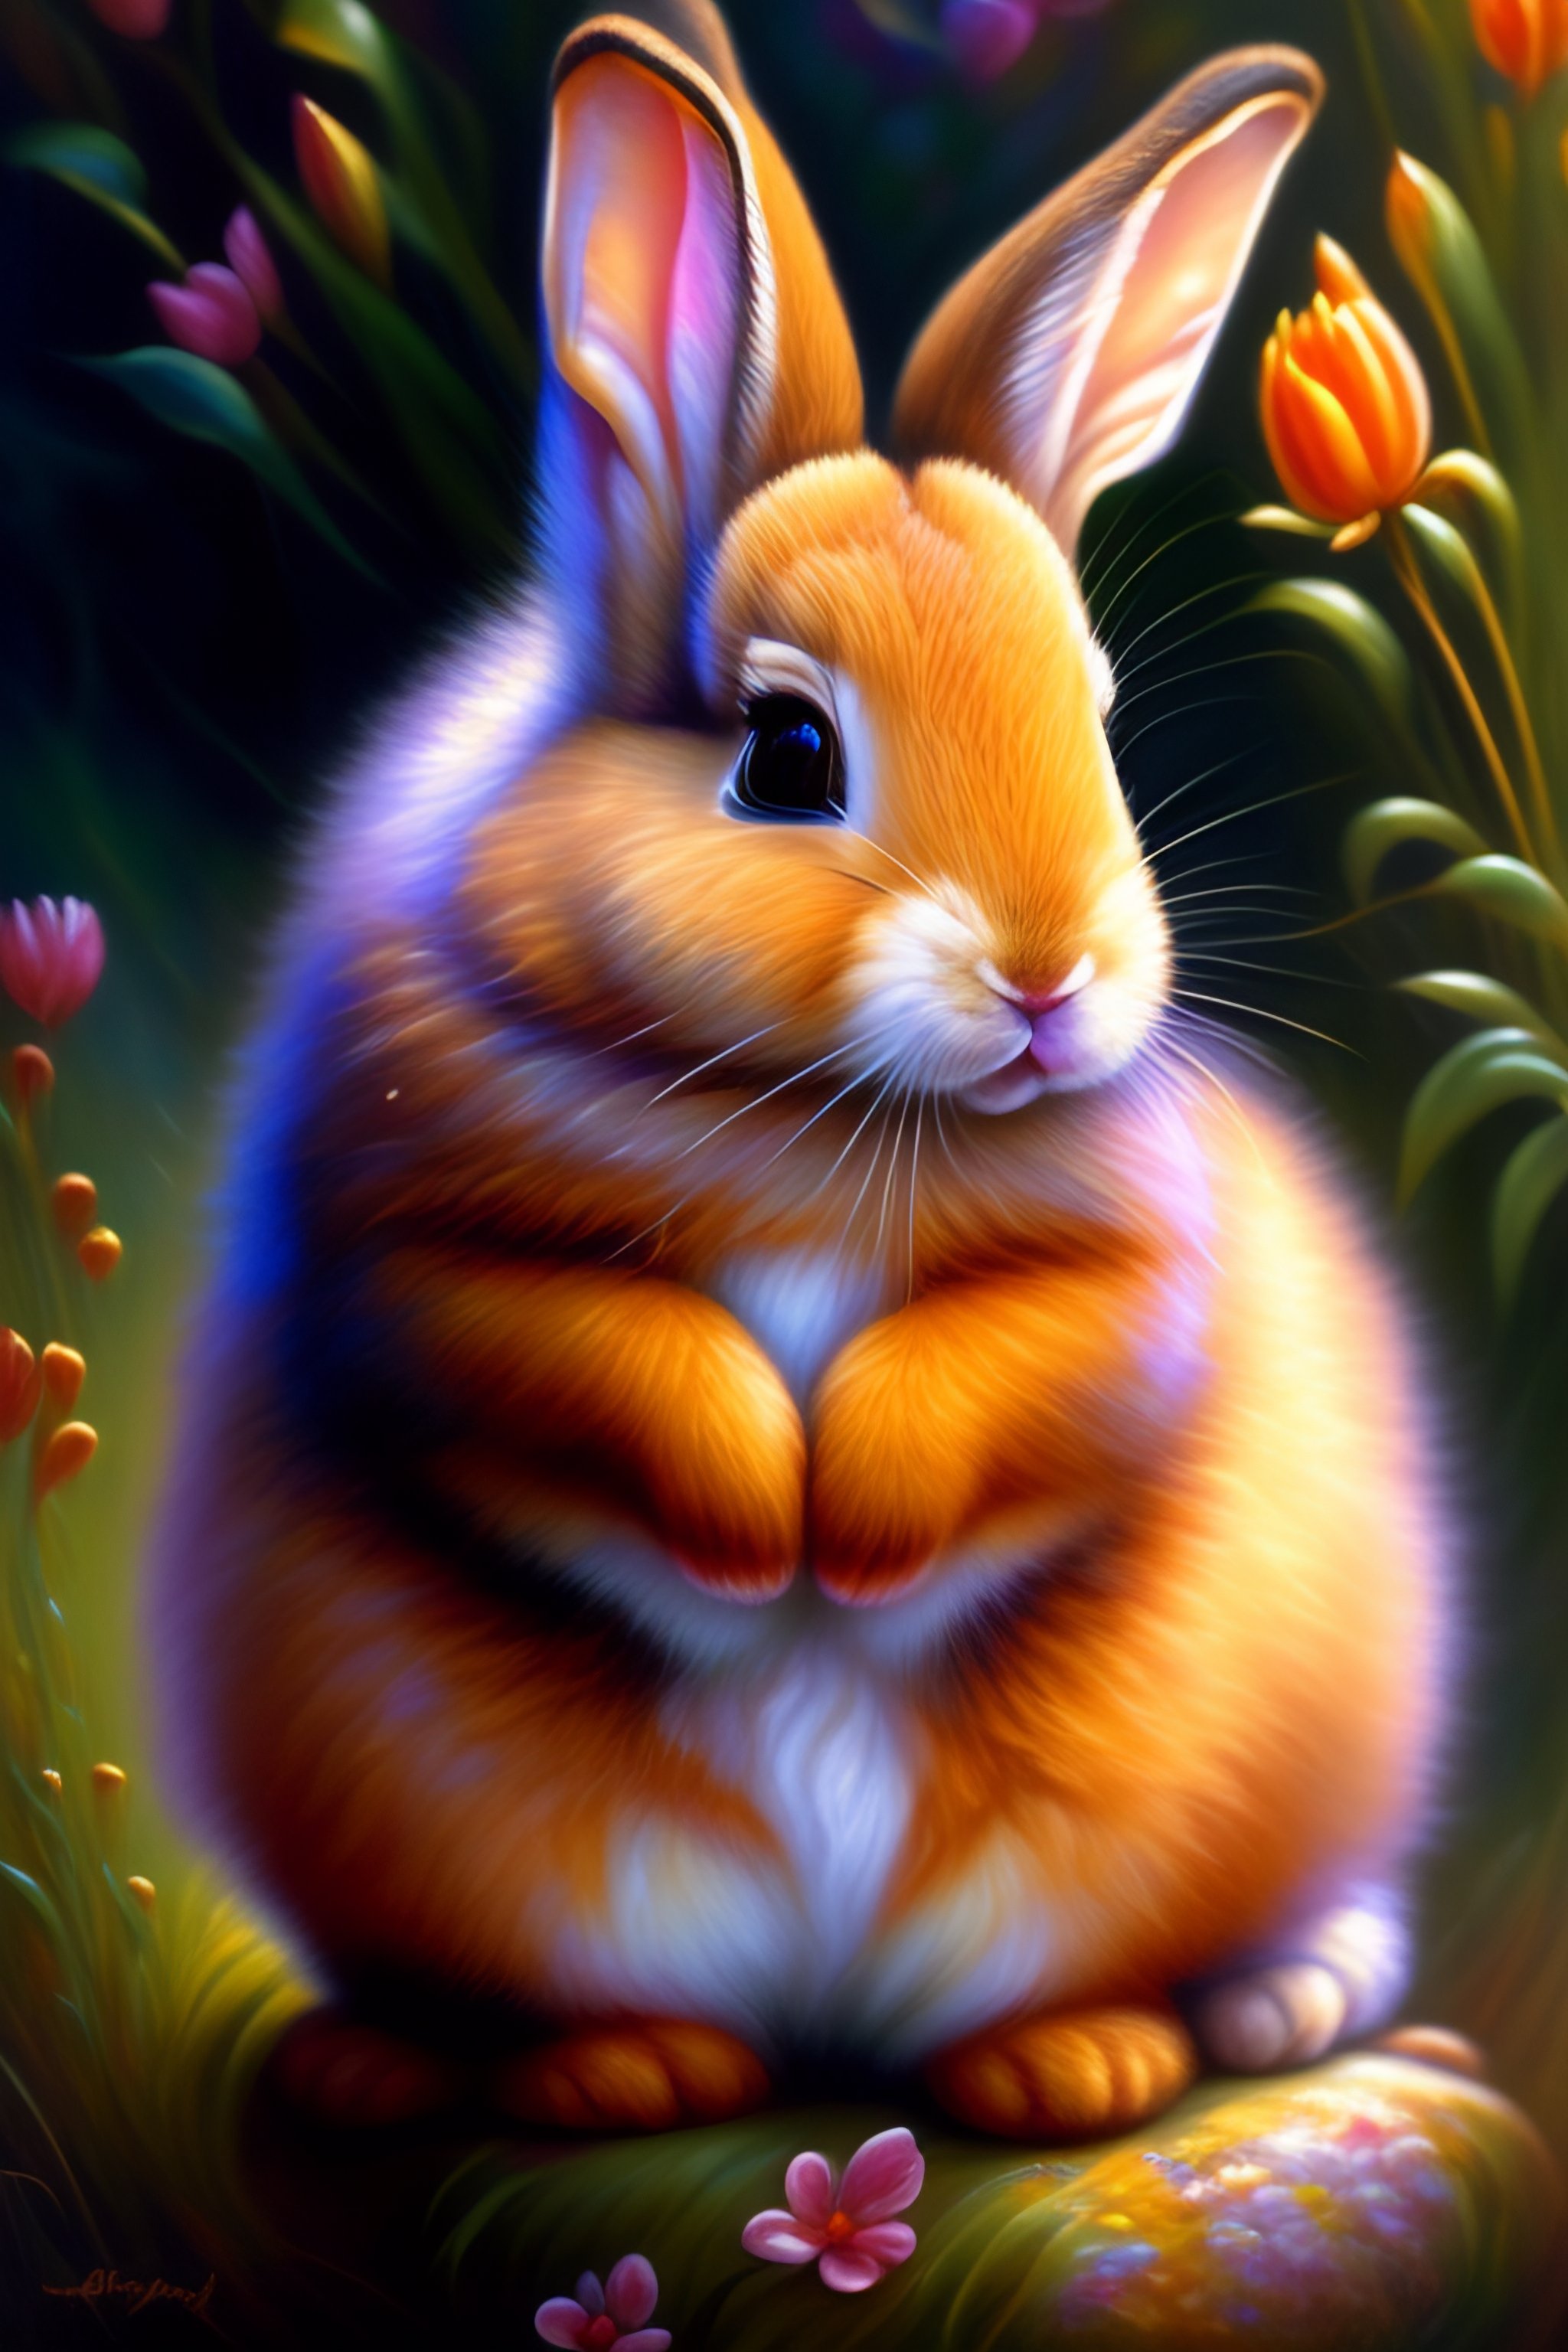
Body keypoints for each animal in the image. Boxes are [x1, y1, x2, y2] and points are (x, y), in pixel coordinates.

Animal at [151, 0, 1449, 2141]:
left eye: (1093, 715)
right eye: (784, 752)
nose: (1049, 978)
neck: (824, 1126)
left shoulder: (1134, 1279)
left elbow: (1029, 1361)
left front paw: (857, 1523)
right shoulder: (405, 1252)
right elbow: (592, 1351)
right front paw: (769, 1528)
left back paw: (1110, 2050)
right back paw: (588, 2068)